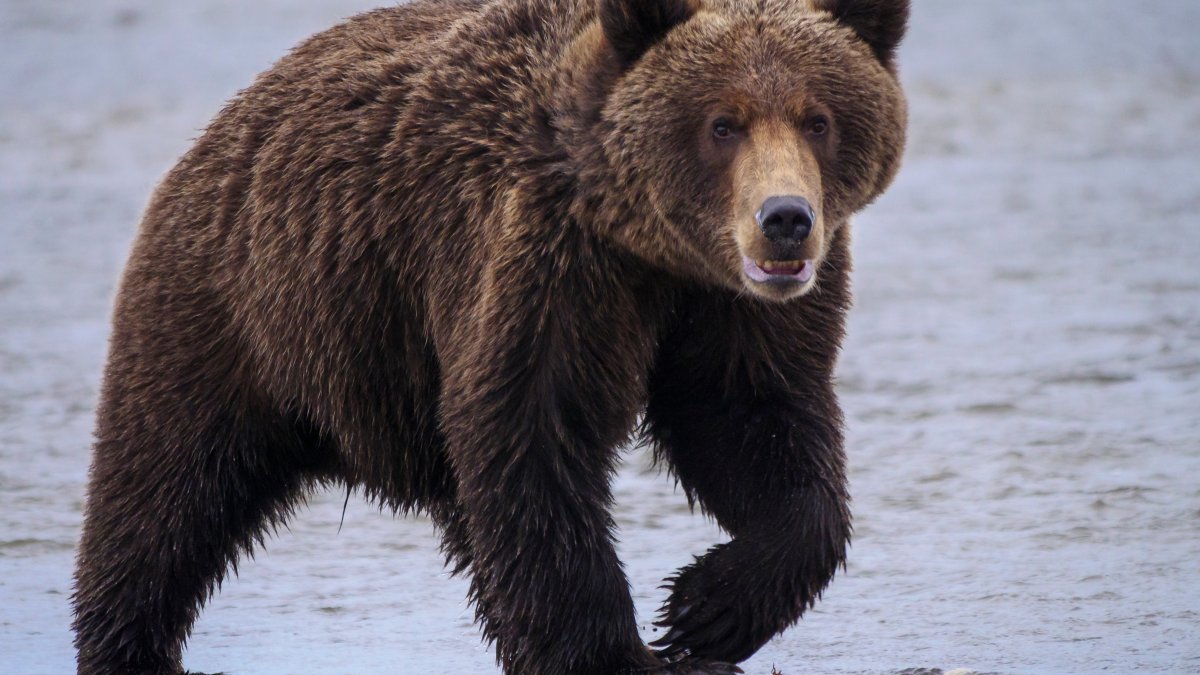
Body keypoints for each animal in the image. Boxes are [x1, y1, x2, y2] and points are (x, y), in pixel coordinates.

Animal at [71, 0, 908, 673]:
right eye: (722, 123)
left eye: (819, 118)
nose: (784, 219)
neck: (648, 248)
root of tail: (217, 129)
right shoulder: (539, 265)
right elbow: (532, 439)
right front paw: (627, 652)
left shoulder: (730, 307)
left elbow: (753, 418)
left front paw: (708, 609)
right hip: (239, 314)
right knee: (165, 491)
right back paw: (126, 641)